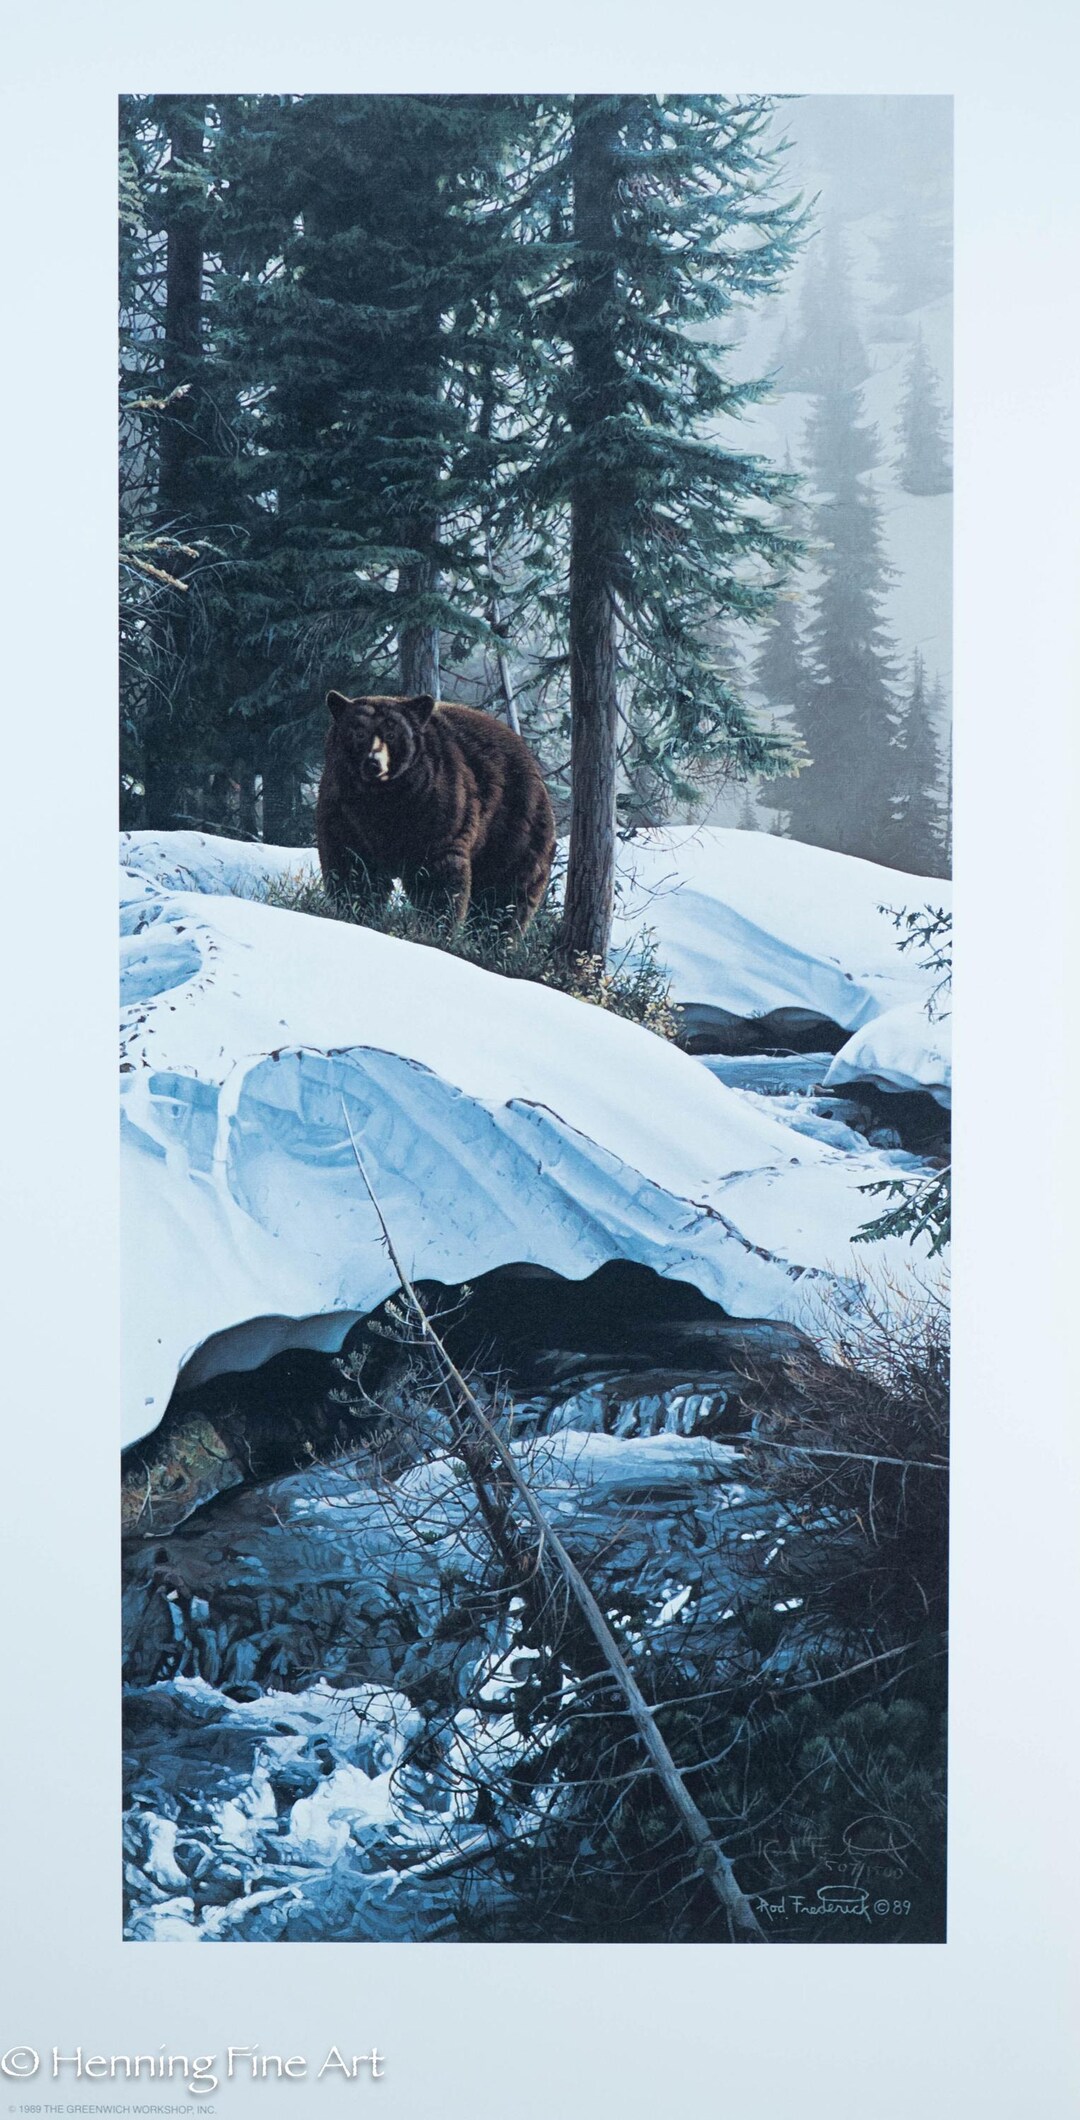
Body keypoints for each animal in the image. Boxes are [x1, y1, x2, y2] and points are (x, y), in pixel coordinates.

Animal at [316, 691, 556, 933]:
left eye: (392, 734)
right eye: (359, 733)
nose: (374, 763)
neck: (383, 797)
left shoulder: (434, 806)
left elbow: (437, 873)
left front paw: (438, 926)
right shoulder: (344, 811)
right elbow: (353, 867)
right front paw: (356, 912)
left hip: (513, 829)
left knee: (504, 892)